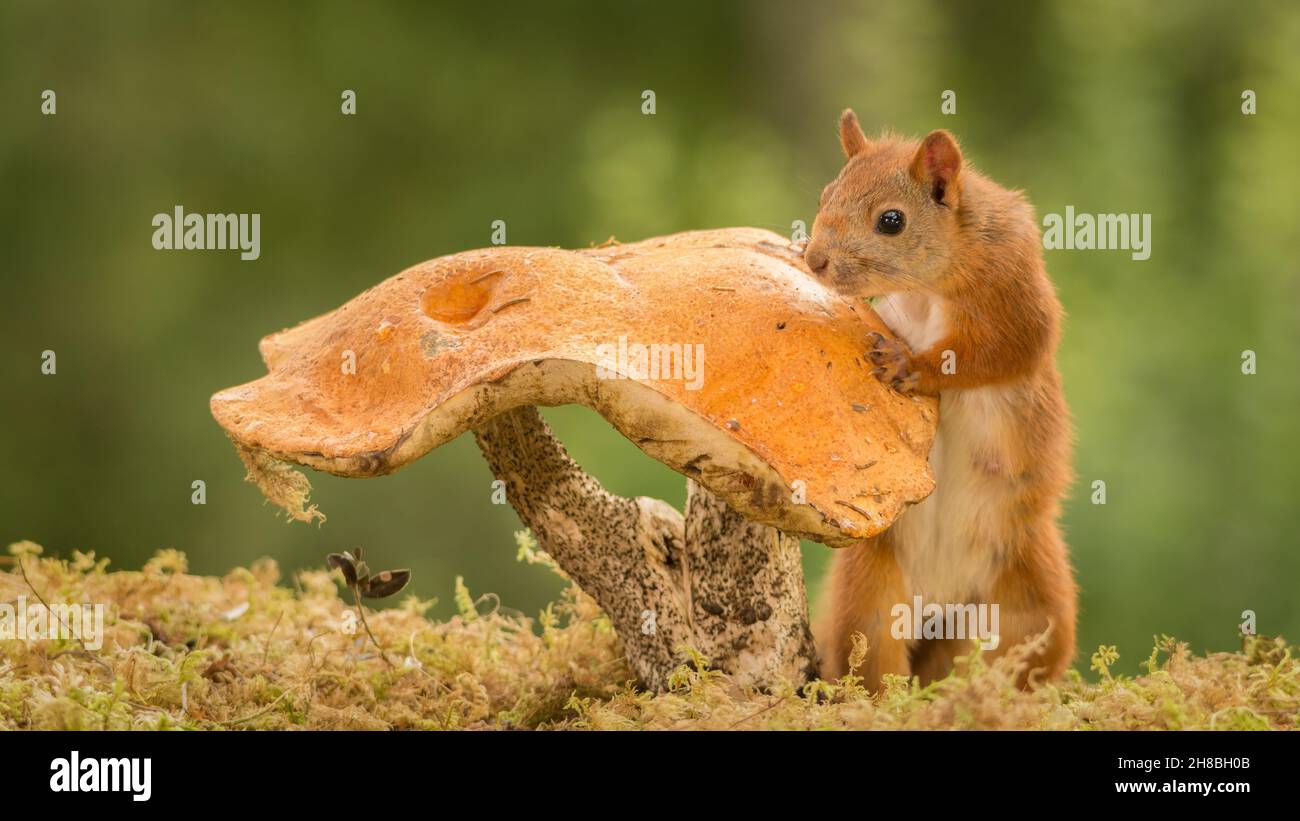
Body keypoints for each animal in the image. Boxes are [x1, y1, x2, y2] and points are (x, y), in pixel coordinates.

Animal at [806, 109, 1076, 690]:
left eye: (891, 221)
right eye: (825, 194)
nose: (813, 260)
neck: (928, 288)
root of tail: (939, 599)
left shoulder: (1015, 296)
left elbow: (996, 353)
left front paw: (910, 365)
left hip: (1029, 596)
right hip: (870, 592)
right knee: (871, 658)